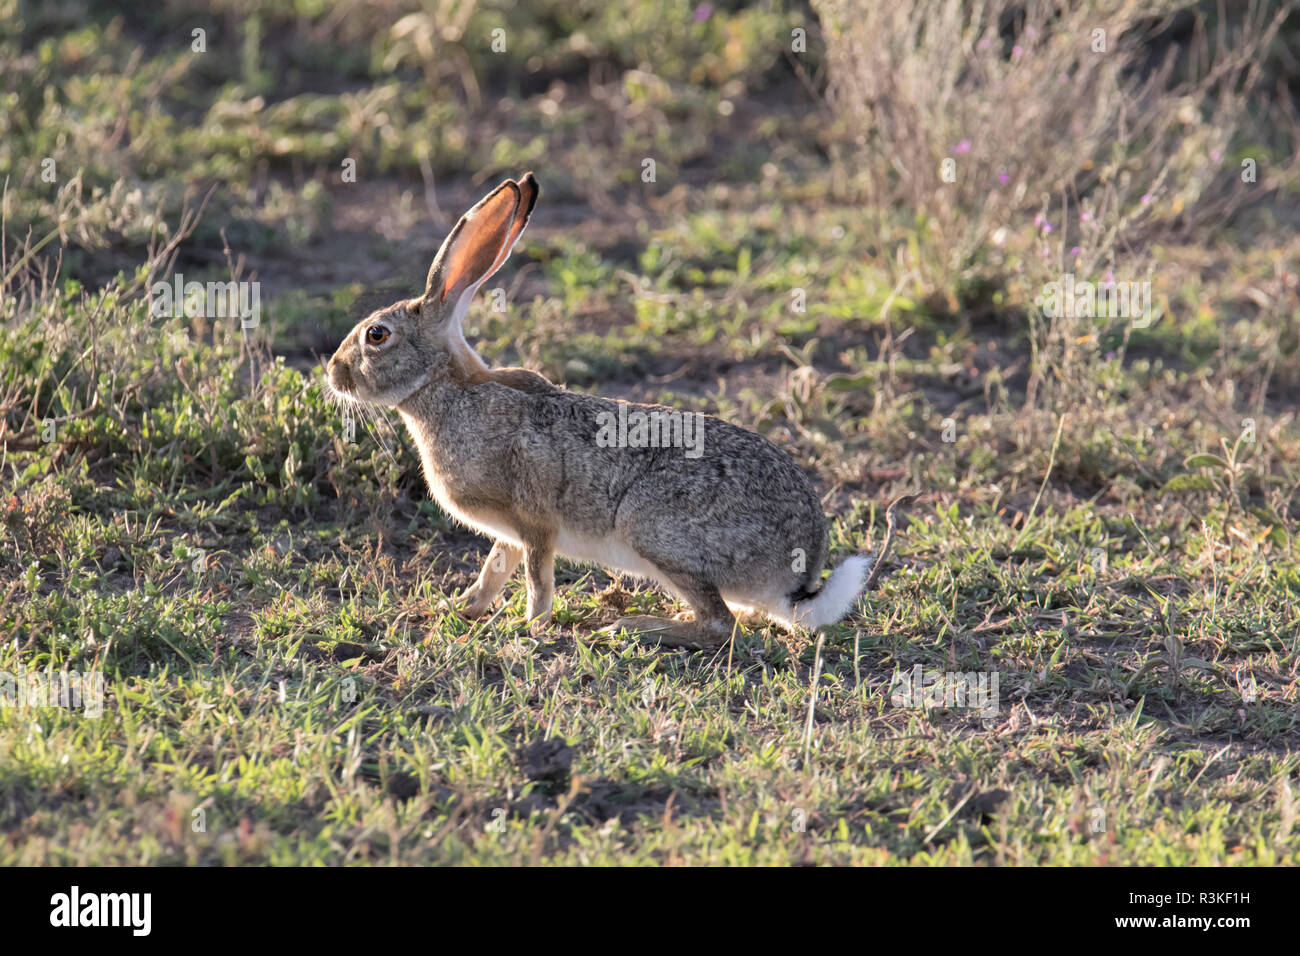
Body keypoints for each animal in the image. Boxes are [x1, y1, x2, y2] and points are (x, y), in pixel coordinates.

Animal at [326, 172, 906, 649]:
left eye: (376, 335)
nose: (333, 373)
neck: (448, 391)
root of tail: (799, 577)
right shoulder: (508, 532)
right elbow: (494, 570)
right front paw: (457, 609)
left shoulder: (534, 520)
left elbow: (537, 577)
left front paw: (530, 626)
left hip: (652, 530)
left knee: (720, 624)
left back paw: (631, 626)